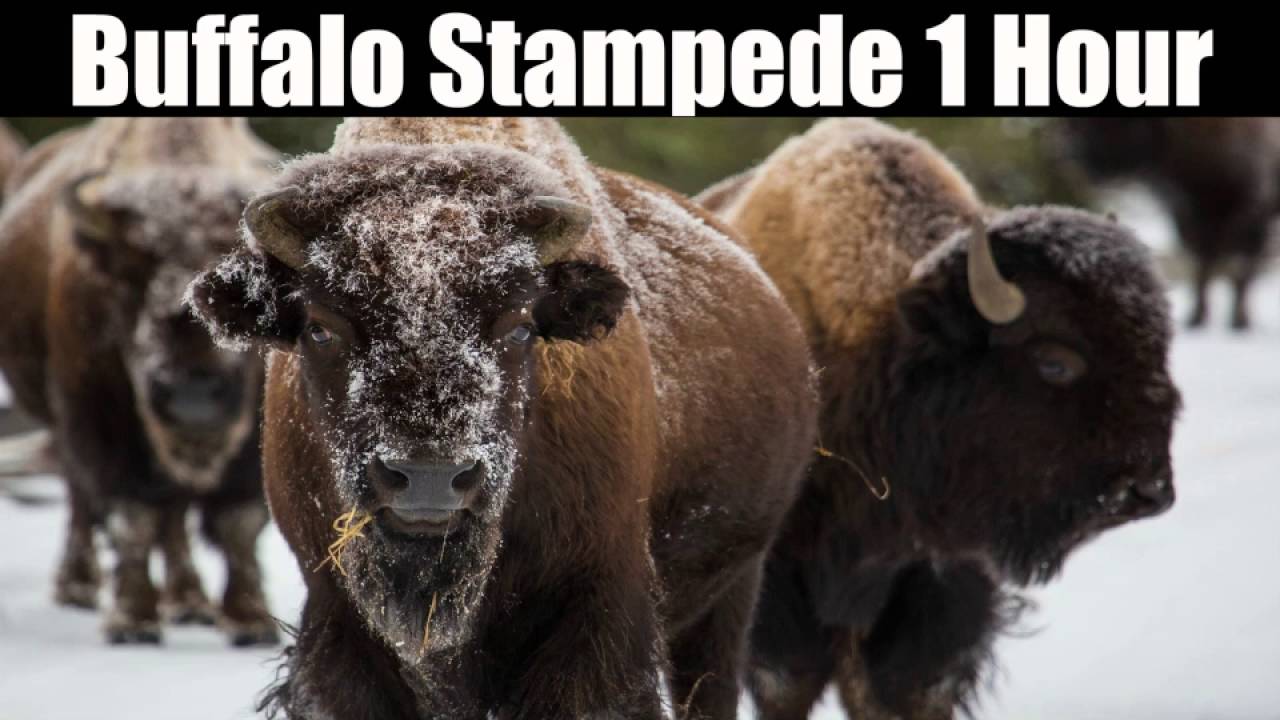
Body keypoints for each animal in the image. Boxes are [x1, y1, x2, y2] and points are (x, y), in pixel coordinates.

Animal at [0, 118, 279, 645]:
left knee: (174, 516)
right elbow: (133, 516)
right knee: (83, 497)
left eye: (244, 283)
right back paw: (79, 587)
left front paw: (251, 620)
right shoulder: (100, 417)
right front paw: (132, 621)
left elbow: (238, 520)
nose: (193, 399)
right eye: (130, 277)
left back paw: (189, 601)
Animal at [188, 117, 816, 719]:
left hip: (731, 593)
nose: (430, 479)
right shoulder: (339, 624)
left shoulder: (596, 609)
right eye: (320, 328)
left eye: (518, 326)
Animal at [699, 118, 1181, 719]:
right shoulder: (781, 585)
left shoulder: (939, 581)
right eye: (1055, 360)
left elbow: (911, 684)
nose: (1147, 490)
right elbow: (788, 680)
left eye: (1158, 346)